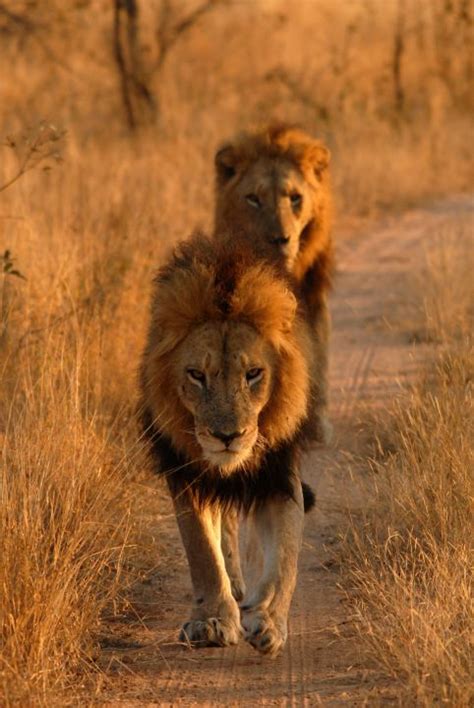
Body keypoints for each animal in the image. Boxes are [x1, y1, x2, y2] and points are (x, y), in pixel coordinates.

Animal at [140, 233, 316, 657]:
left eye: (253, 374)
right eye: (196, 375)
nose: (227, 436)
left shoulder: (279, 473)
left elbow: (285, 555)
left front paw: (268, 620)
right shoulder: (187, 474)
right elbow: (202, 550)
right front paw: (212, 621)